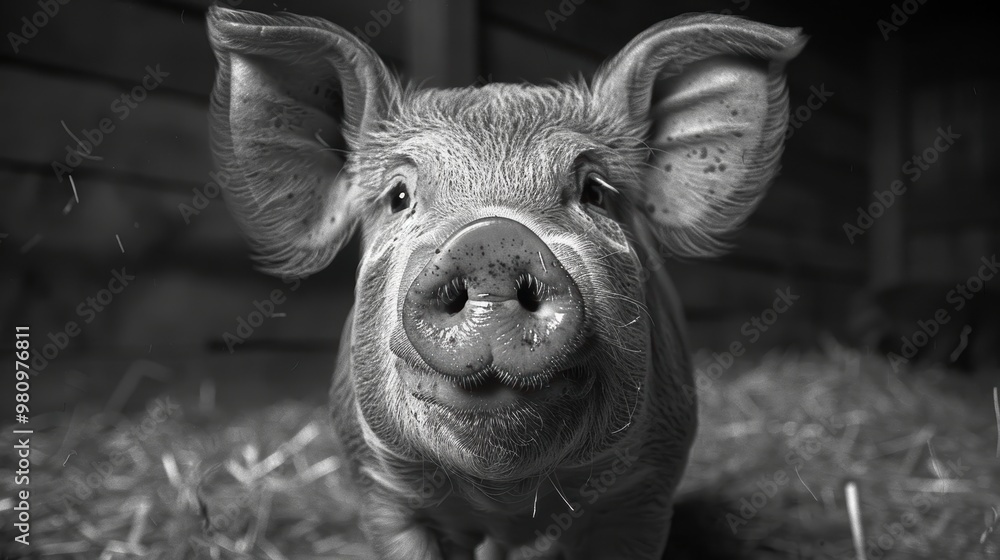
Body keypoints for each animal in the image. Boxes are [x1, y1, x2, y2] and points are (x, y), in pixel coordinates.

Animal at [207, 7, 803, 559]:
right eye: (399, 196)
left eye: (595, 191)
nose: (491, 239)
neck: (506, 497)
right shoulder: (383, 494)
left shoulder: (646, 488)